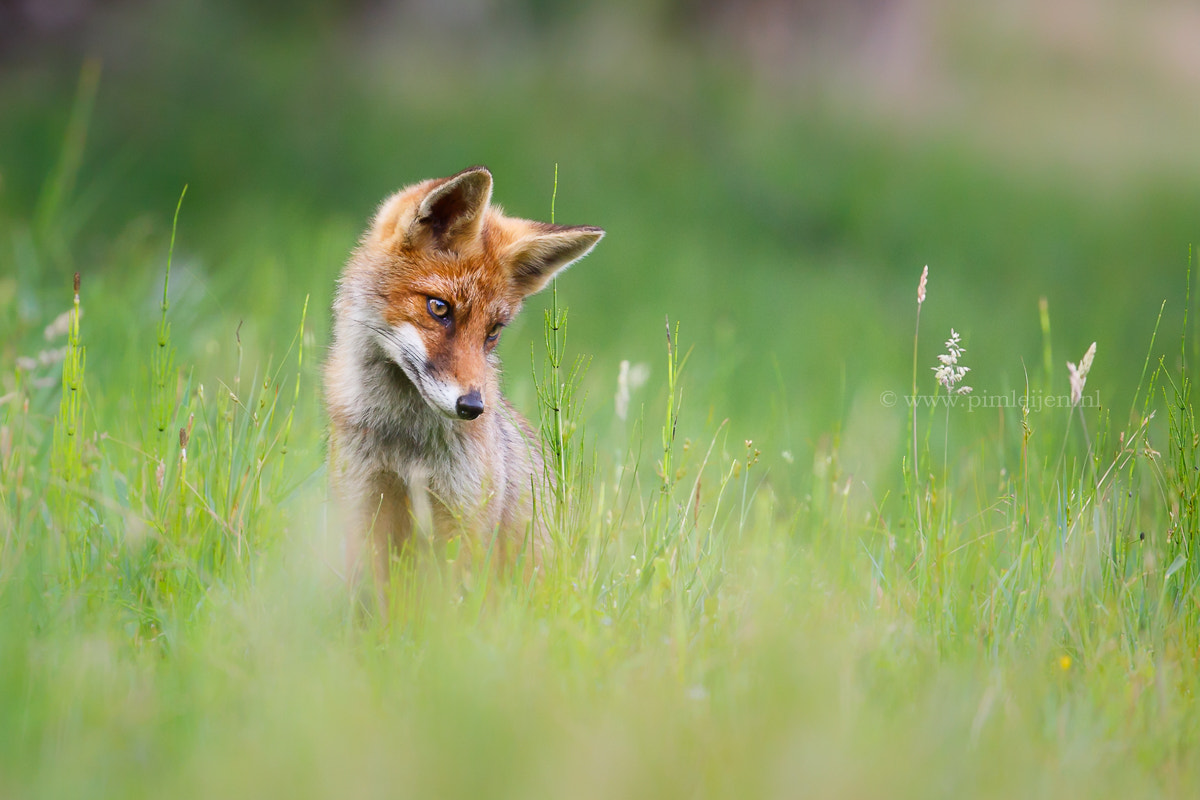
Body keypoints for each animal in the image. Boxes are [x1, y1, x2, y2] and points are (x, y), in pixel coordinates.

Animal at [324, 165, 604, 587]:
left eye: (493, 331)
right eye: (439, 308)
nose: (473, 407)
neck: (406, 445)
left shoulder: (463, 519)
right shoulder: (364, 505)